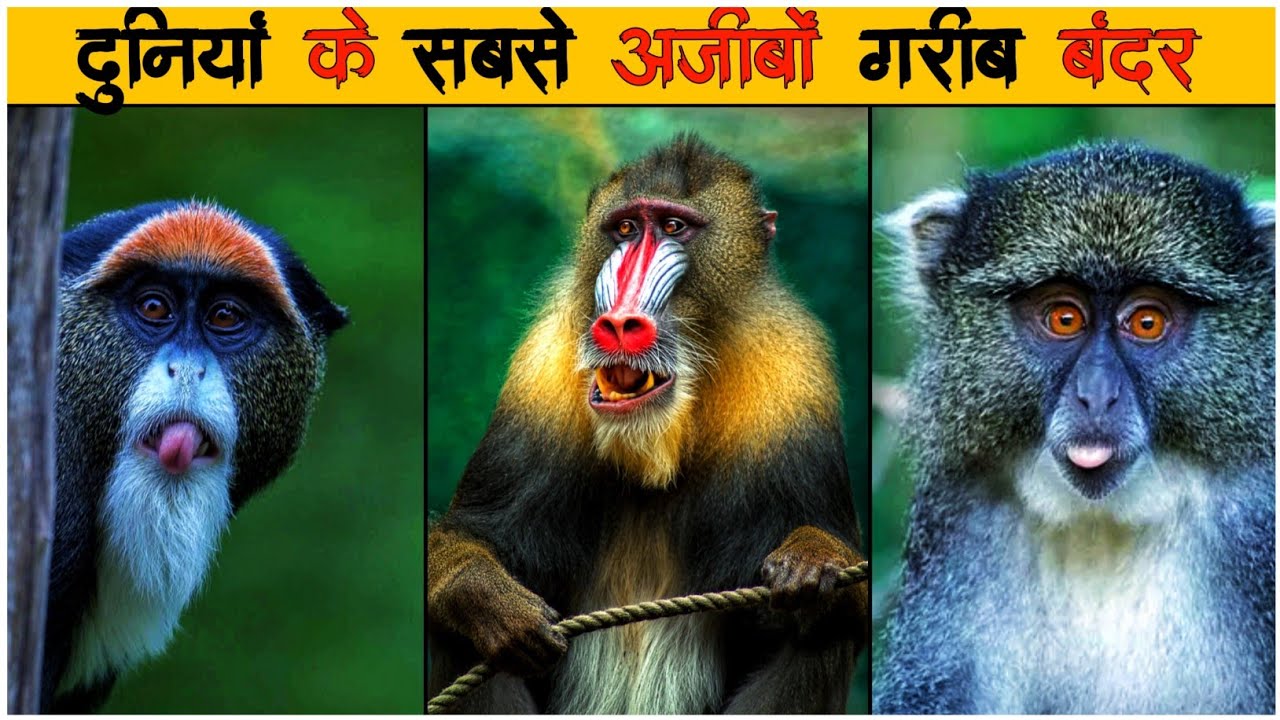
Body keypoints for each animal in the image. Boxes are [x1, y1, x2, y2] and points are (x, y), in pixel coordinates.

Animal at [427, 135, 868, 713]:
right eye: (626, 230)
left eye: (675, 227)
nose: (618, 322)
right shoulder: (540, 376)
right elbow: (467, 541)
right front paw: (486, 600)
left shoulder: (793, 381)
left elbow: (847, 604)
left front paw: (812, 562)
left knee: (822, 632)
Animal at [872, 143, 1275, 714]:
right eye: (1064, 318)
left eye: (1147, 323)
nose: (1097, 394)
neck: (1103, 524)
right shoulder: (960, 514)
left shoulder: (1255, 521)